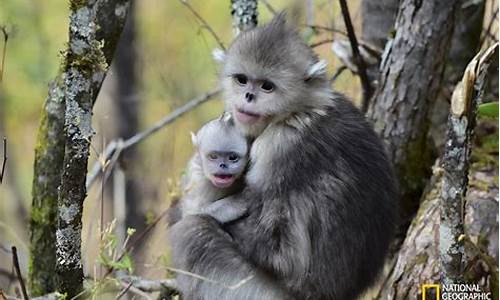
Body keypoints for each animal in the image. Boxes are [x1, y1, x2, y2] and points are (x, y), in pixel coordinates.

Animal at [169, 12, 398, 298]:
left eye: (267, 86)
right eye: (242, 79)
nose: (248, 96)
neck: (301, 111)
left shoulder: (278, 144)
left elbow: (284, 256)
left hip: (255, 290)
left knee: (192, 234)